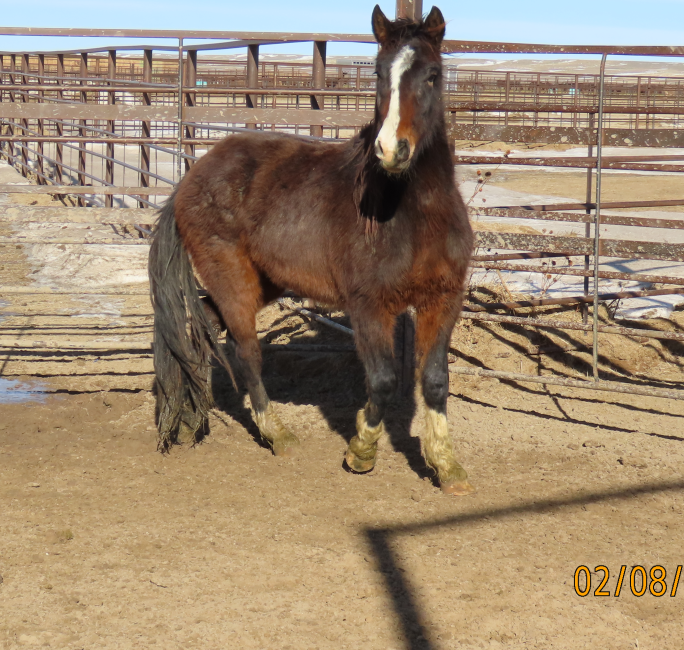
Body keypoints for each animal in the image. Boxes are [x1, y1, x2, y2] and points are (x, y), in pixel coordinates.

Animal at [148, 5, 475, 495]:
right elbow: (382, 380)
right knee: (245, 352)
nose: (391, 149)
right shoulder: (369, 306)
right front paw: (360, 450)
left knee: (202, 327)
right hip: (232, 279)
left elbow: (435, 380)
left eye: (432, 75)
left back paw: (193, 414)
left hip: (264, 282)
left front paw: (447, 466)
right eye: (379, 73)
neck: (411, 215)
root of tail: (190, 178)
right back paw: (277, 434)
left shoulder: (443, 298)